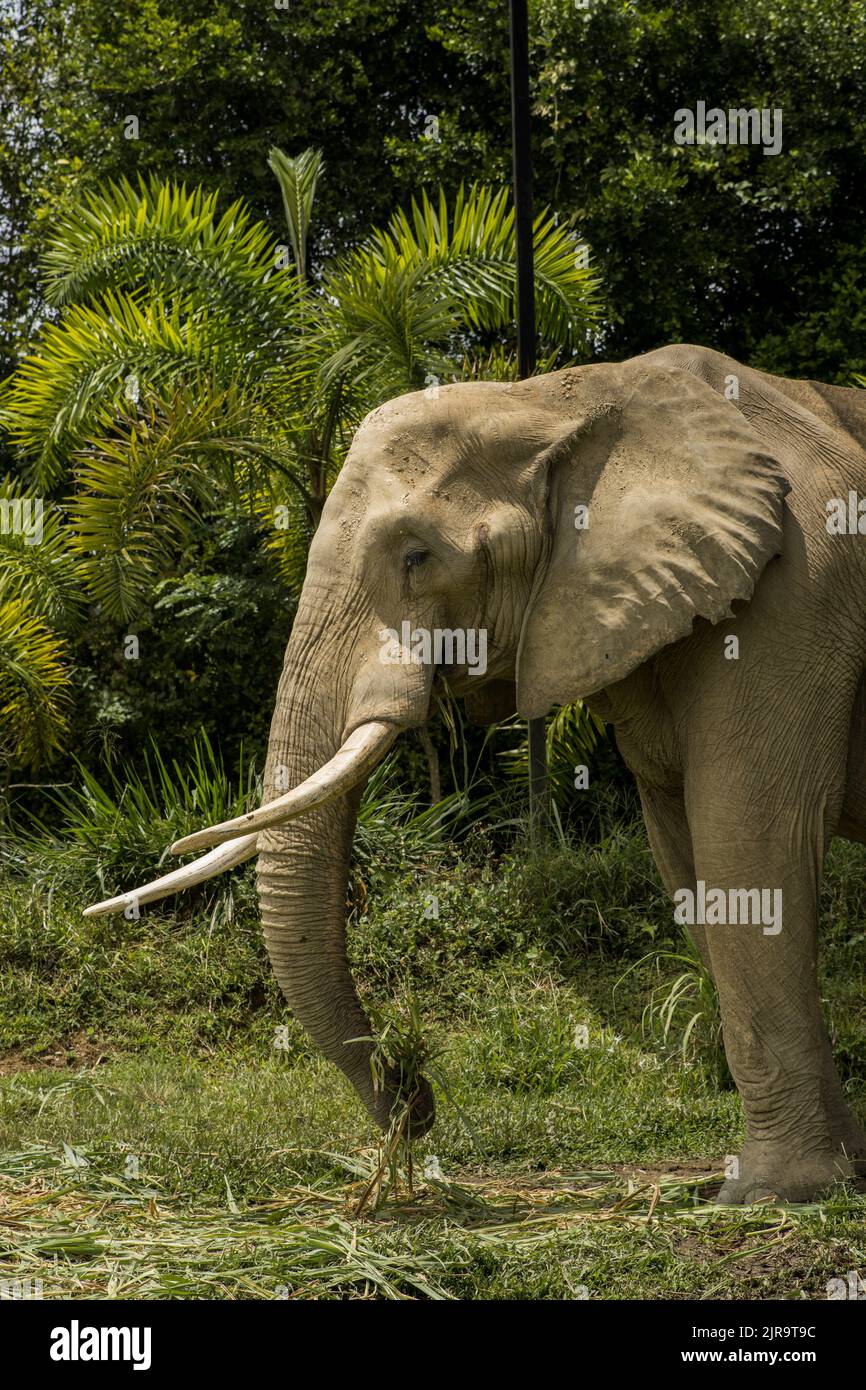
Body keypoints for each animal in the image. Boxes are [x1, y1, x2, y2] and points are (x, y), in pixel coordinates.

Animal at [86, 340, 866, 1205]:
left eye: (417, 557)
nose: (415, 1101)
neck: (559, 399)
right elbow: (687, 856)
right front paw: (835, 1170)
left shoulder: (798, 595)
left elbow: (748, 846)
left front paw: (770, 1195)